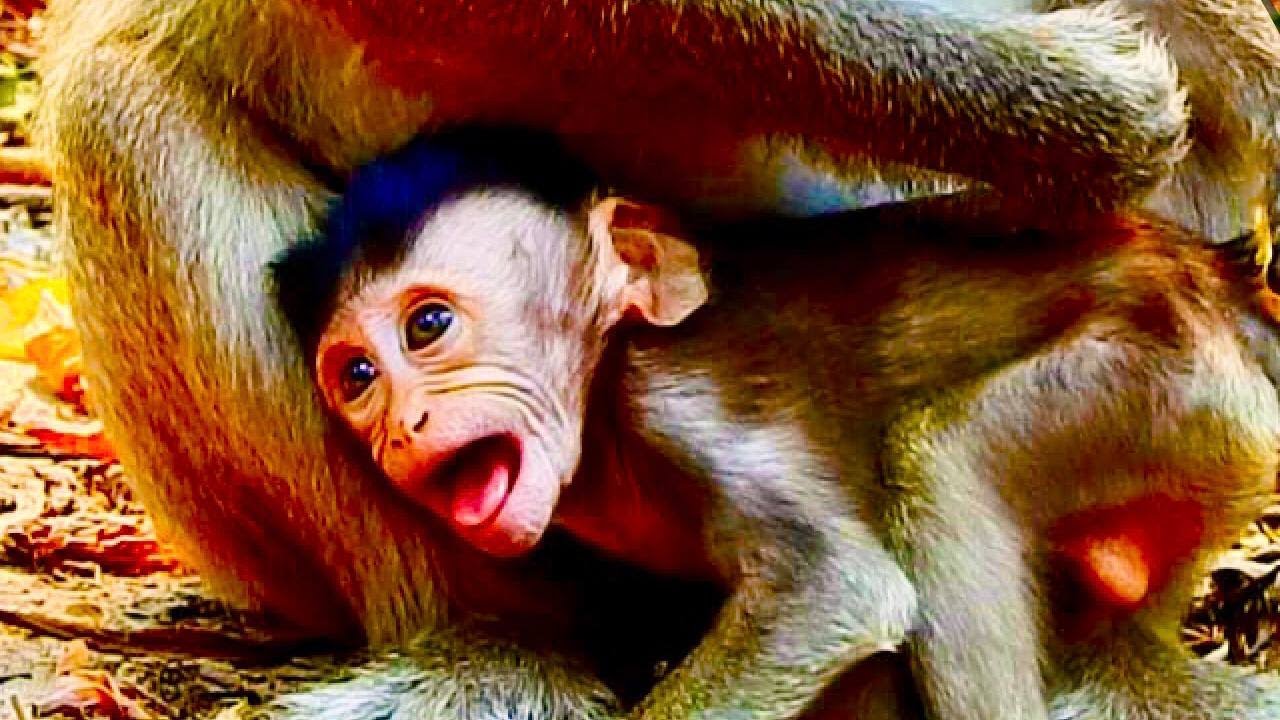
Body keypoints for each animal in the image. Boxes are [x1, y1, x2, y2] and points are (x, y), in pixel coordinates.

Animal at [268, 127, 1280, 720]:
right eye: (357, 376)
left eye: (428, 327)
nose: (400, 427)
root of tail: (1220, 286)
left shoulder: (672, 403)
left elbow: (833, 591)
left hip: (1169, 383)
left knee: (942, 461)